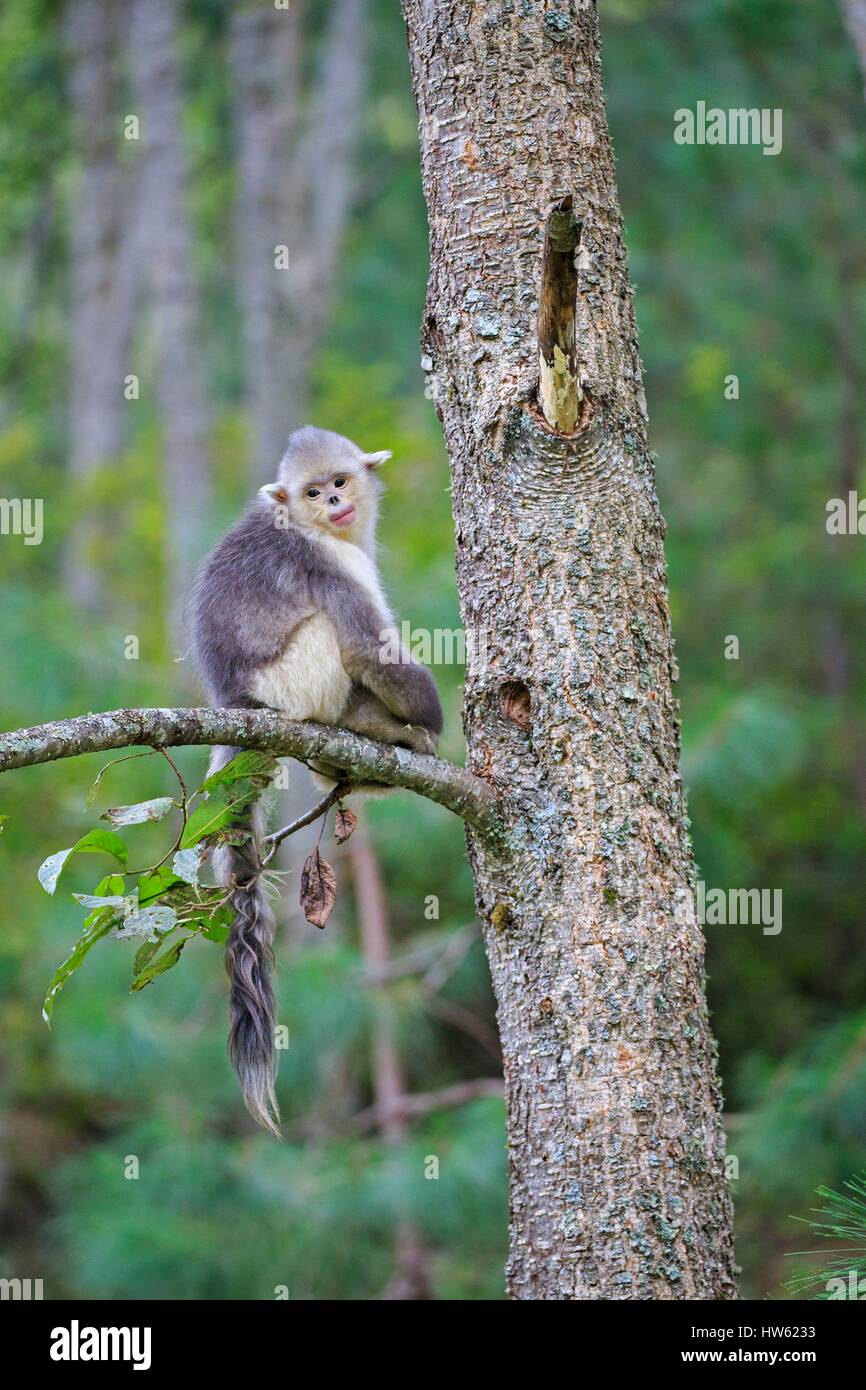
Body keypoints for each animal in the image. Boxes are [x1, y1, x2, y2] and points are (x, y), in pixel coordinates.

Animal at [191, 425, 443, 1133]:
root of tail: (237, 700)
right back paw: (371, 725)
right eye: (311, 493)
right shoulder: (328, 564)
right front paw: (431, 717)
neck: (303, 526)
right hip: (295, 680)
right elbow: (366, 649)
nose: (333, 503)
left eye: (339, 481)